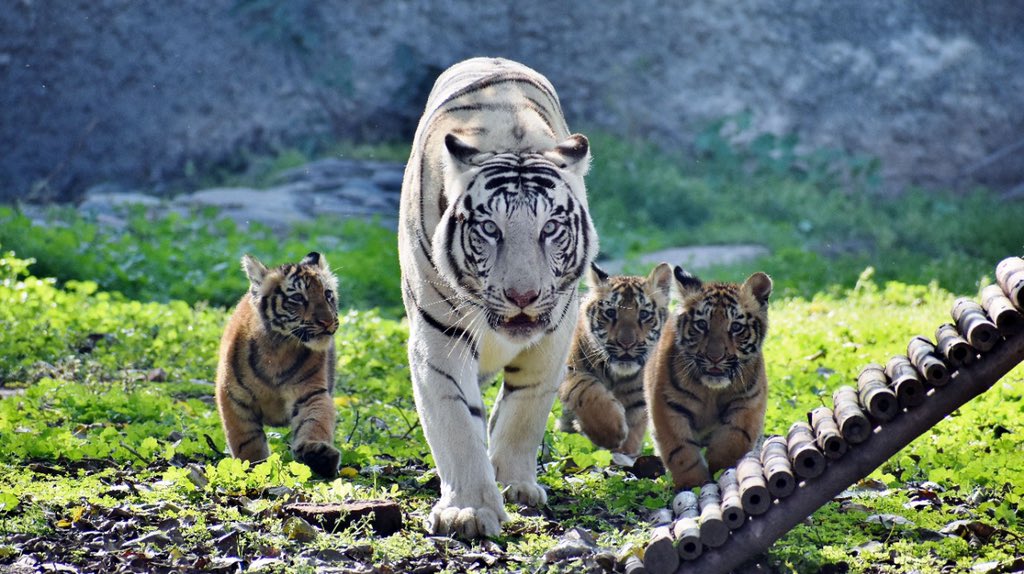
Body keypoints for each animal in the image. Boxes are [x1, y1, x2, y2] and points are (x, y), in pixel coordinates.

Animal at [214, 252, 341, 479]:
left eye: (327, 294)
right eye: (298, 298)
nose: (327, 321)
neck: (279, 347)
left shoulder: (311, 393)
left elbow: (315, 422)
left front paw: (318, 456)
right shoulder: (232, 396)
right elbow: (245, 438)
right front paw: (253, 467)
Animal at [398, 57, 598, 538]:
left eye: (550, 228)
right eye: (490, 229)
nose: (522, 295)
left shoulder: (554, 335)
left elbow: (524, 412)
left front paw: (515, 485)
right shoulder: (438, 339)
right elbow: (456, 423)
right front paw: (468, 511)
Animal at [558, 262, 672, 462]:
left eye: (644, 314)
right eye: (611, 312)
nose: (626, 343)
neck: (617, 375)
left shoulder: (638, 396)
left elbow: (634, 426)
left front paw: (623, 451)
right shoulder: (566, 369)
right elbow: (585, 389)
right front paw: (609, 433)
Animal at [644, 266, 772, 491]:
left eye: (736, 327)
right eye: (702, 324)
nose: (715, 357)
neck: (711, 391)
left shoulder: (748, 402)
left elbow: (733, 441)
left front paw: (722, 471)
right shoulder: (667, 406)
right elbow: (681, 451)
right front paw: (694, 484)